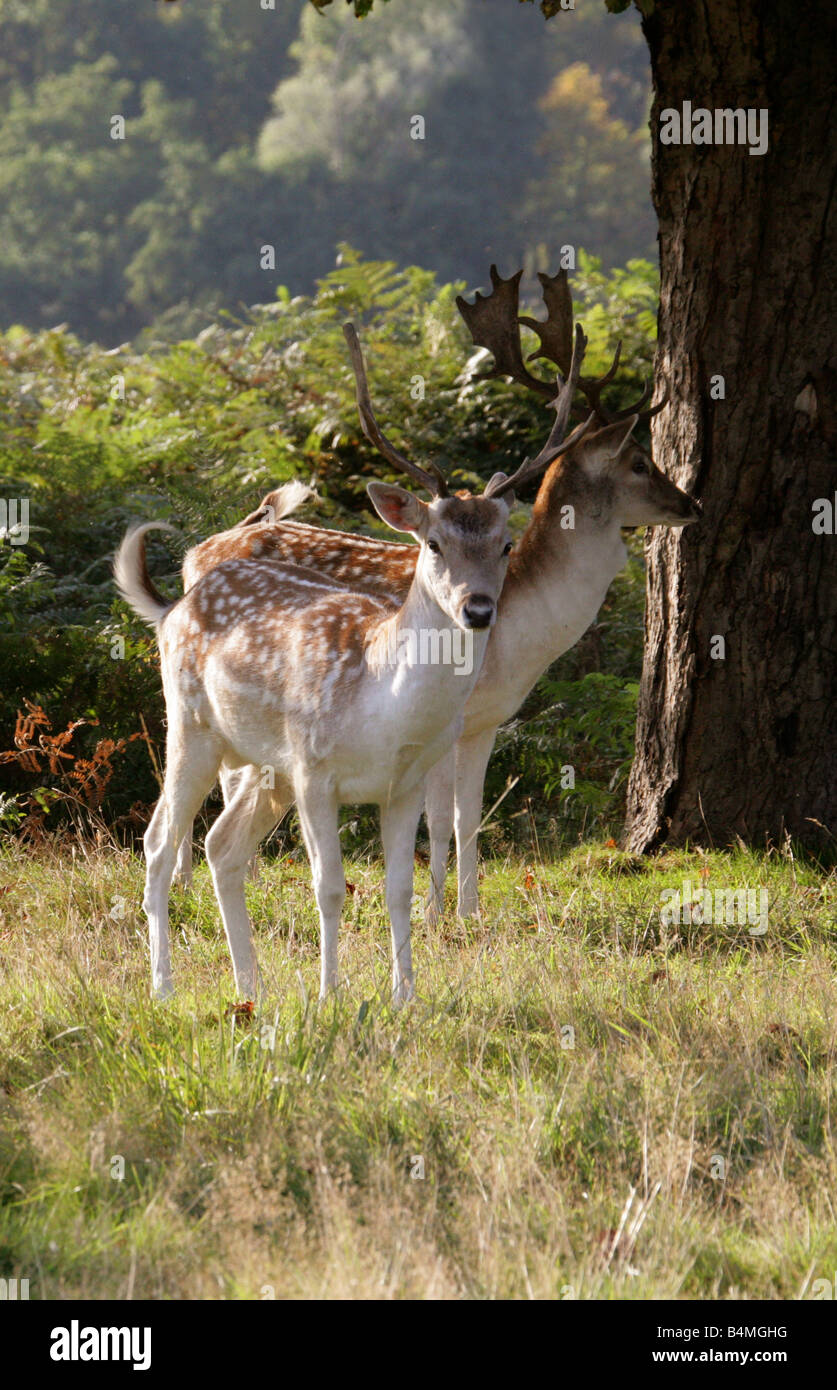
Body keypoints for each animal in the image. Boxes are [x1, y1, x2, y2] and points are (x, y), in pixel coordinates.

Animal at [114, 322, 590, 1003]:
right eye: (433, 543)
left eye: (504, 545)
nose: (477, 610)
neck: (383, 706)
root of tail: (179, 602)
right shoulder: (315, 770)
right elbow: (330, 888)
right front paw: (330, 995)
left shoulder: (403, 784)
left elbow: (400, 889)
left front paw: (404, 997)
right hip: (194, 725)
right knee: (159, 842)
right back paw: (164, 988)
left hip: (264, 766)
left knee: (220, 845)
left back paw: (252, 988)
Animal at [175, 267, 702, 920]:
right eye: (639, 462)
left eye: (504, 543)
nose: (691, 503)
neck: (523, 639)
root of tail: (193, 556)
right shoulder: (441, 727)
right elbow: (439, 818)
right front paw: (432, 913)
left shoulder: (484, 723)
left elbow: (468, 816)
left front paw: (470, 911)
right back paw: (192, 886)